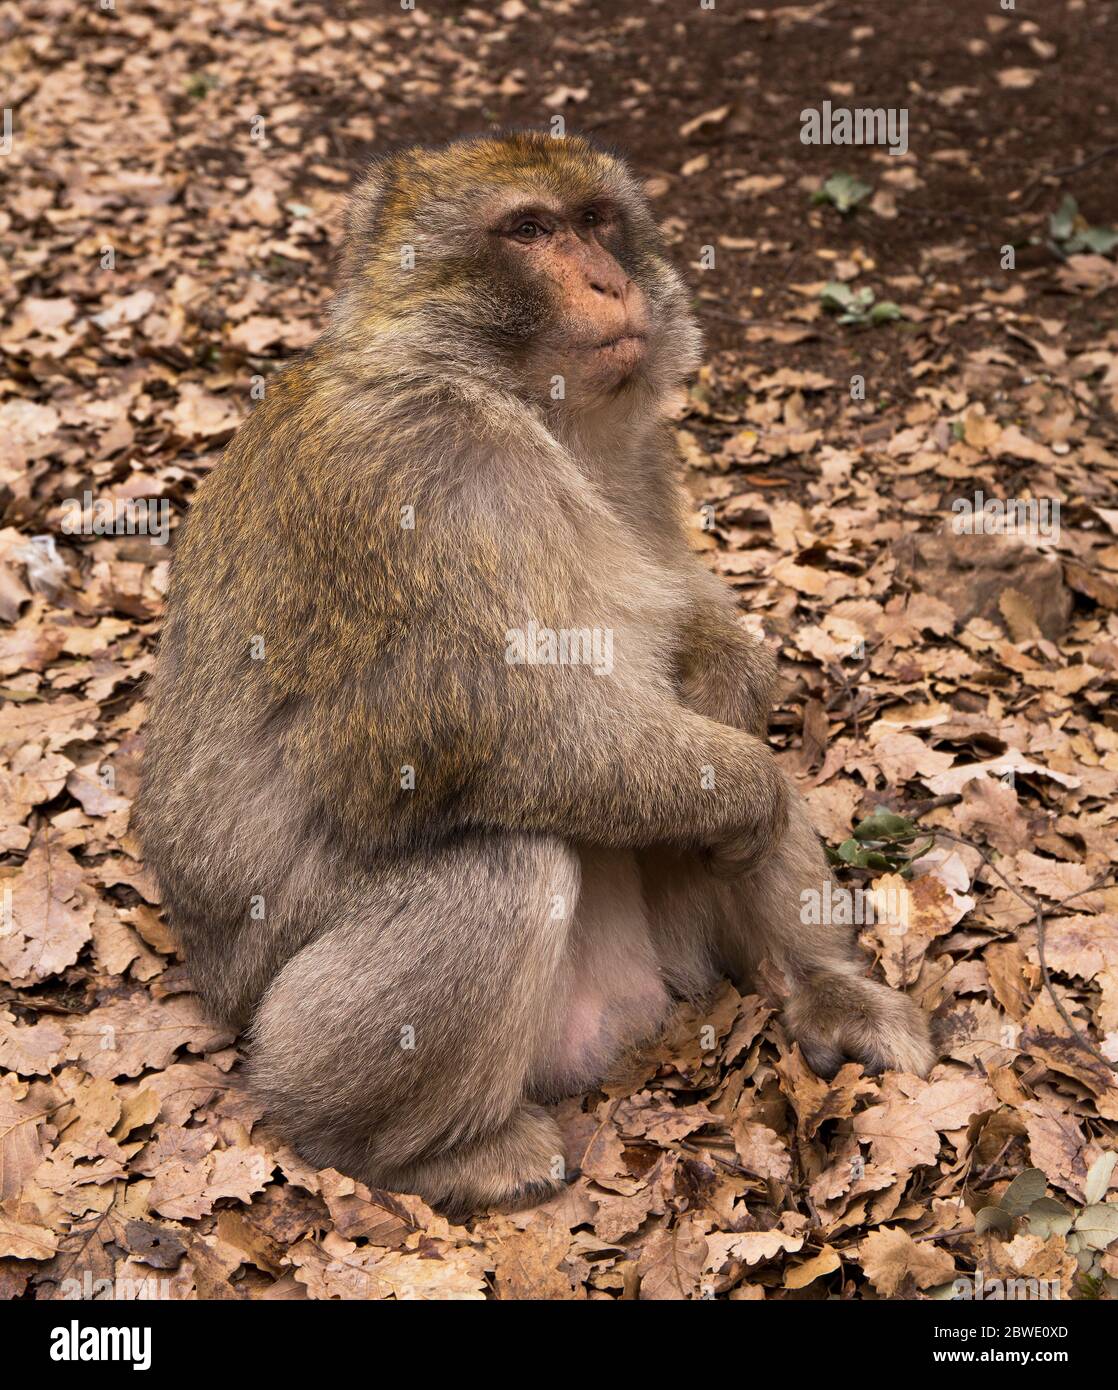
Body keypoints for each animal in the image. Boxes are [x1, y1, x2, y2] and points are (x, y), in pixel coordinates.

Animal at [135, 131, 934, 1218]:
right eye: (527, 230)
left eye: (595, 220)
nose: (607, 280)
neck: (516, 402)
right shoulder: (404, 473)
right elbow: (450, 728)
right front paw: (746, 789)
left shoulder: (640, 464)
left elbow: (688, 617)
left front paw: (735, 683)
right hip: (293, 1032)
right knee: (506, 858)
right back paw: (424, 1153)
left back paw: (821, 988)